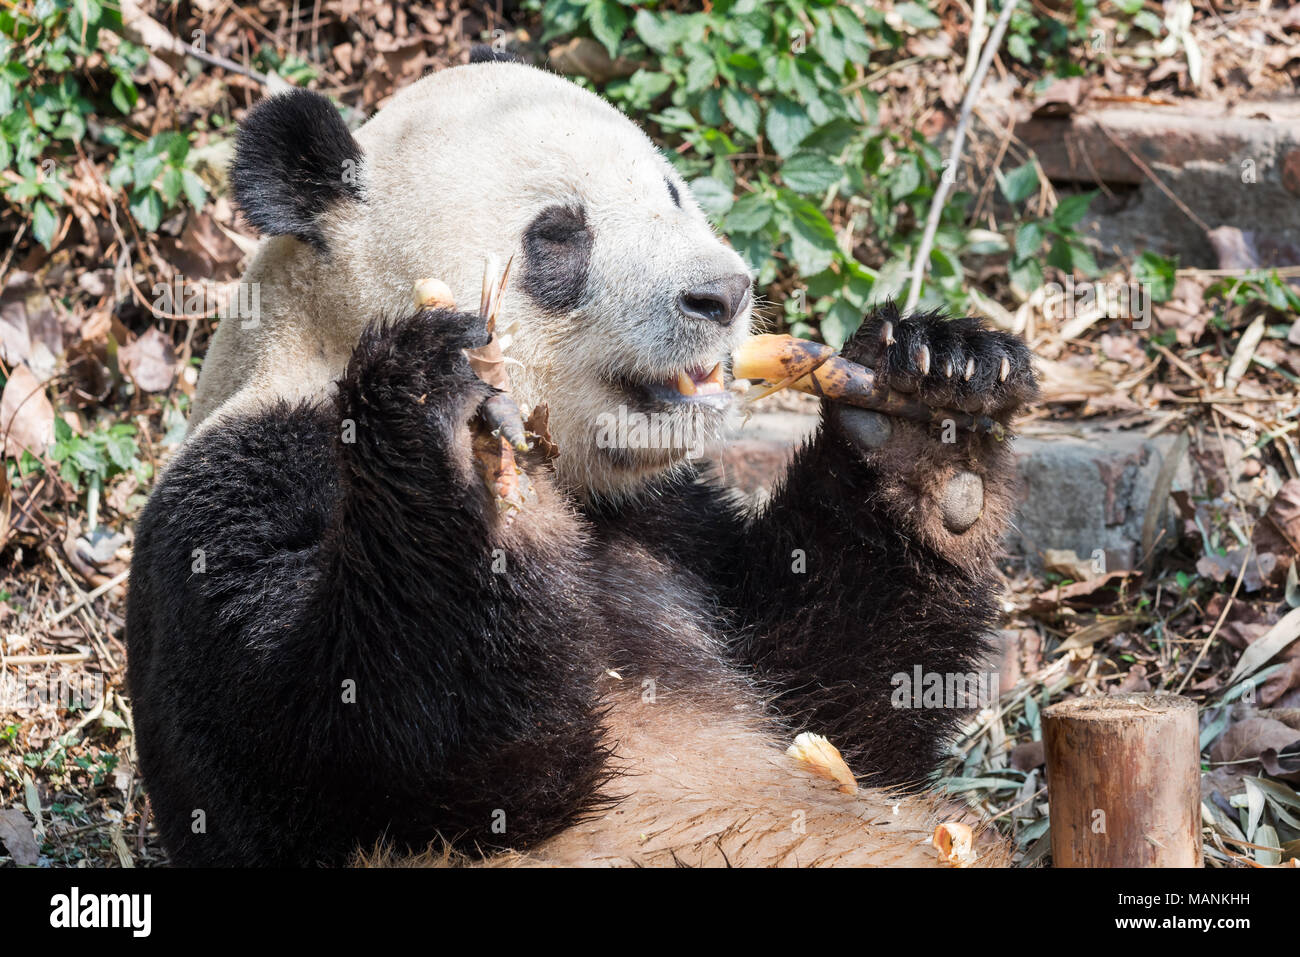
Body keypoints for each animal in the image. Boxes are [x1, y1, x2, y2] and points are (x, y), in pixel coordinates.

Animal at [125, 54, 1037, 867]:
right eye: (560, 235)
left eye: (671, 194)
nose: (722, 293)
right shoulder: (245, 479)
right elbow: (362, 754)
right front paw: (455, 445)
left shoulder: (668, 521)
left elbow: (839, 712)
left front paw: (933, 405)